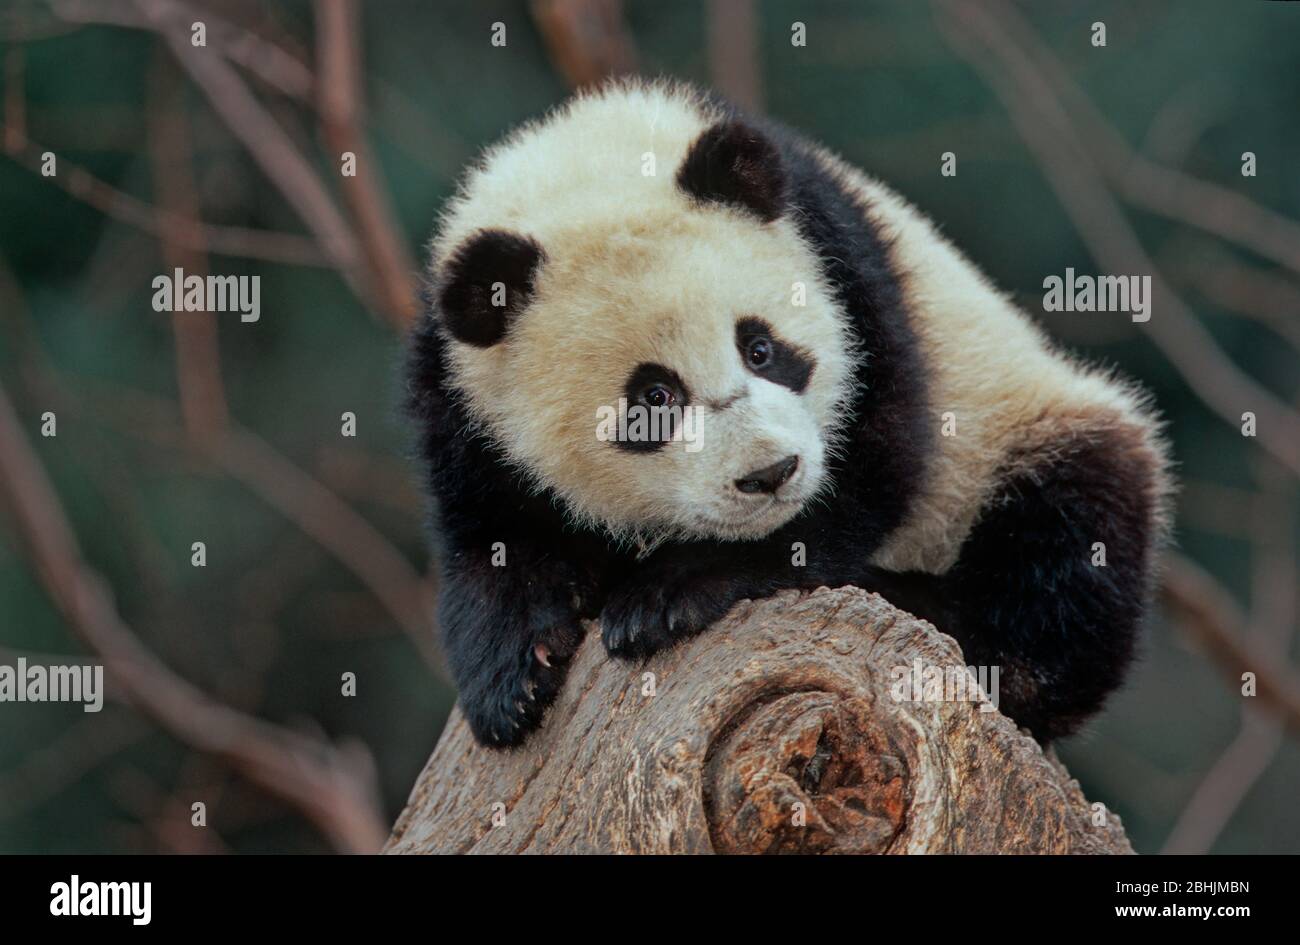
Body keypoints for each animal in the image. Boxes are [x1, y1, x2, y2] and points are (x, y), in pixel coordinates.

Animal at [407, 78, 1172, 748]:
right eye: (654, 398)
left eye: (761, 348)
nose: (771, 474)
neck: (585, 162)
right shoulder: (456, 383)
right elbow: (491, 533)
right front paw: (510, 675)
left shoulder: (842, 261)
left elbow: (876, 463)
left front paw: (668, 594)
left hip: (1018, 424)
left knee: (1066, 550)